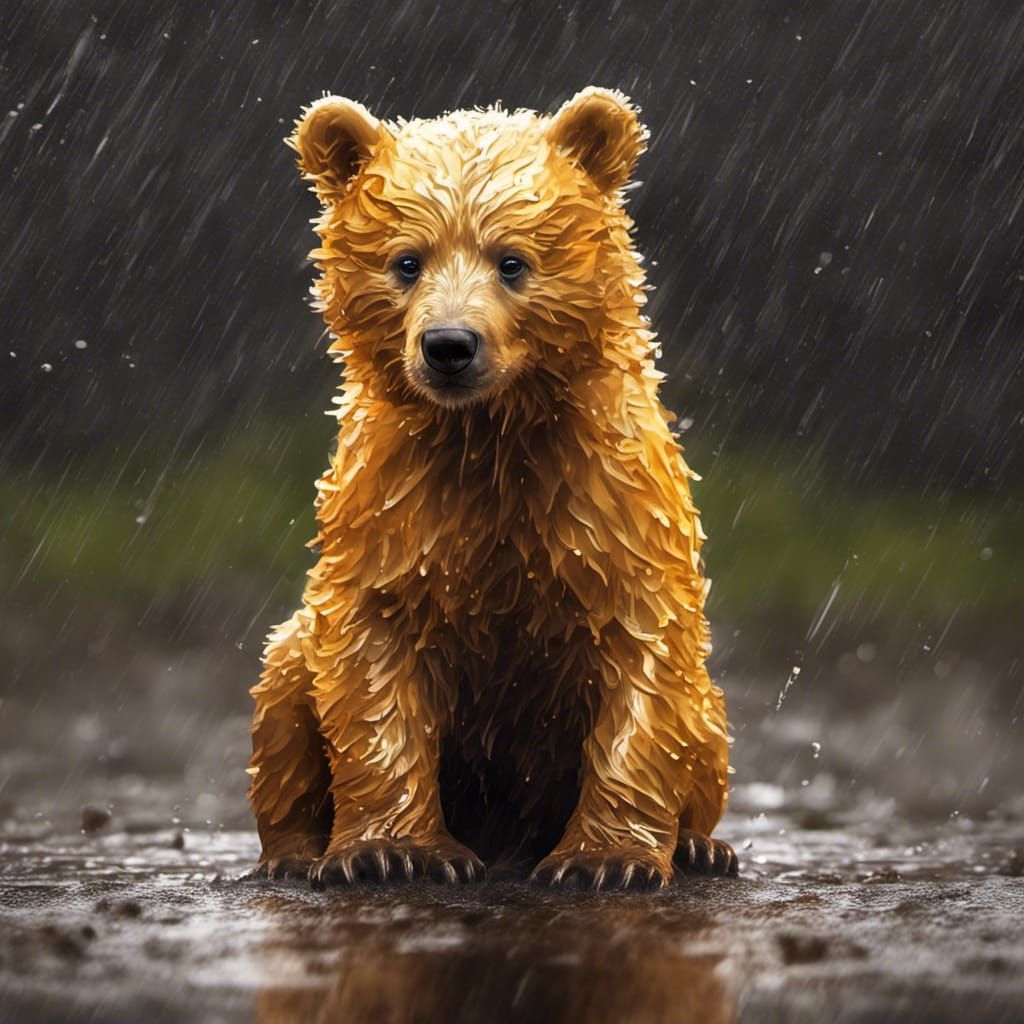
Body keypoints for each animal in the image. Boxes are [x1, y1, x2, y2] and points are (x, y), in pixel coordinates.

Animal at [246, 87, 736, 890]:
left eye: (512, 261)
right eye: (406, 261)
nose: (449, 345)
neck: (492, 441)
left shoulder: (612, 512)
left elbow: (645, 668)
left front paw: (607, 860)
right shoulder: (394, 515)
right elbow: (370, 668)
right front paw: (389, 852)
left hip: (709, 714)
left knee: (705, 721)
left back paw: (701, 846)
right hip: (293, 655)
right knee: (282, 685)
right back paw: (291, 854)